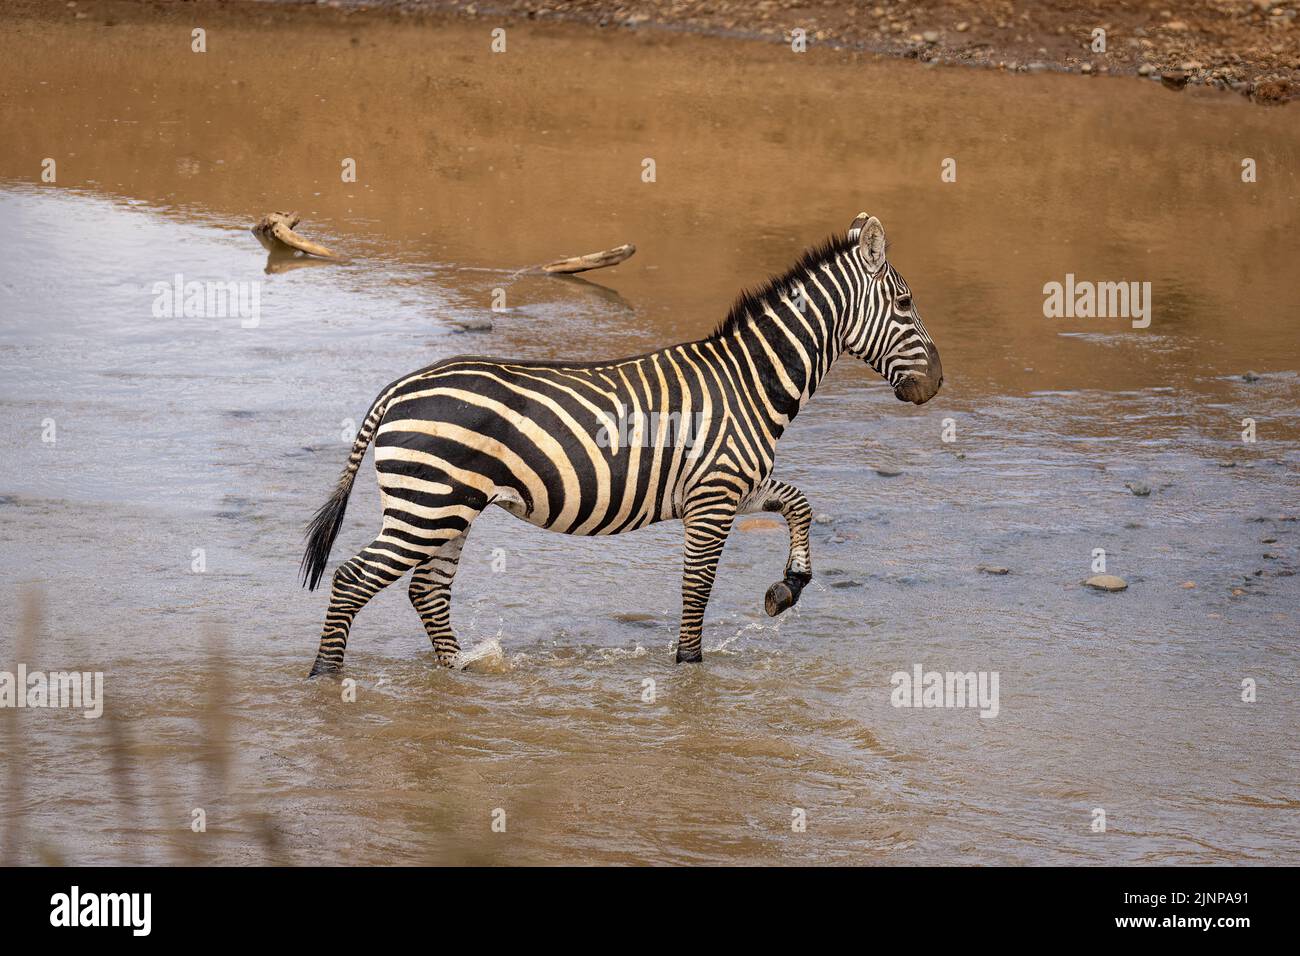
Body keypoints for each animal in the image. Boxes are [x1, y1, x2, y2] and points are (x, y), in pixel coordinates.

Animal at [301, 212, 942, 675]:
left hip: (447, 509)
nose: (935, 383)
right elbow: (697, 588)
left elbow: (800, 503)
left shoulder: (734, 485)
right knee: (355, 579)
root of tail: (398, 388)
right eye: (906, 304)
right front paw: (690, 668)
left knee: (426, 591)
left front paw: (788, 588)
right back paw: (327, 678)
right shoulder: (712, 498)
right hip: (428, 505)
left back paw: (459, 670)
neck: (749, 382)